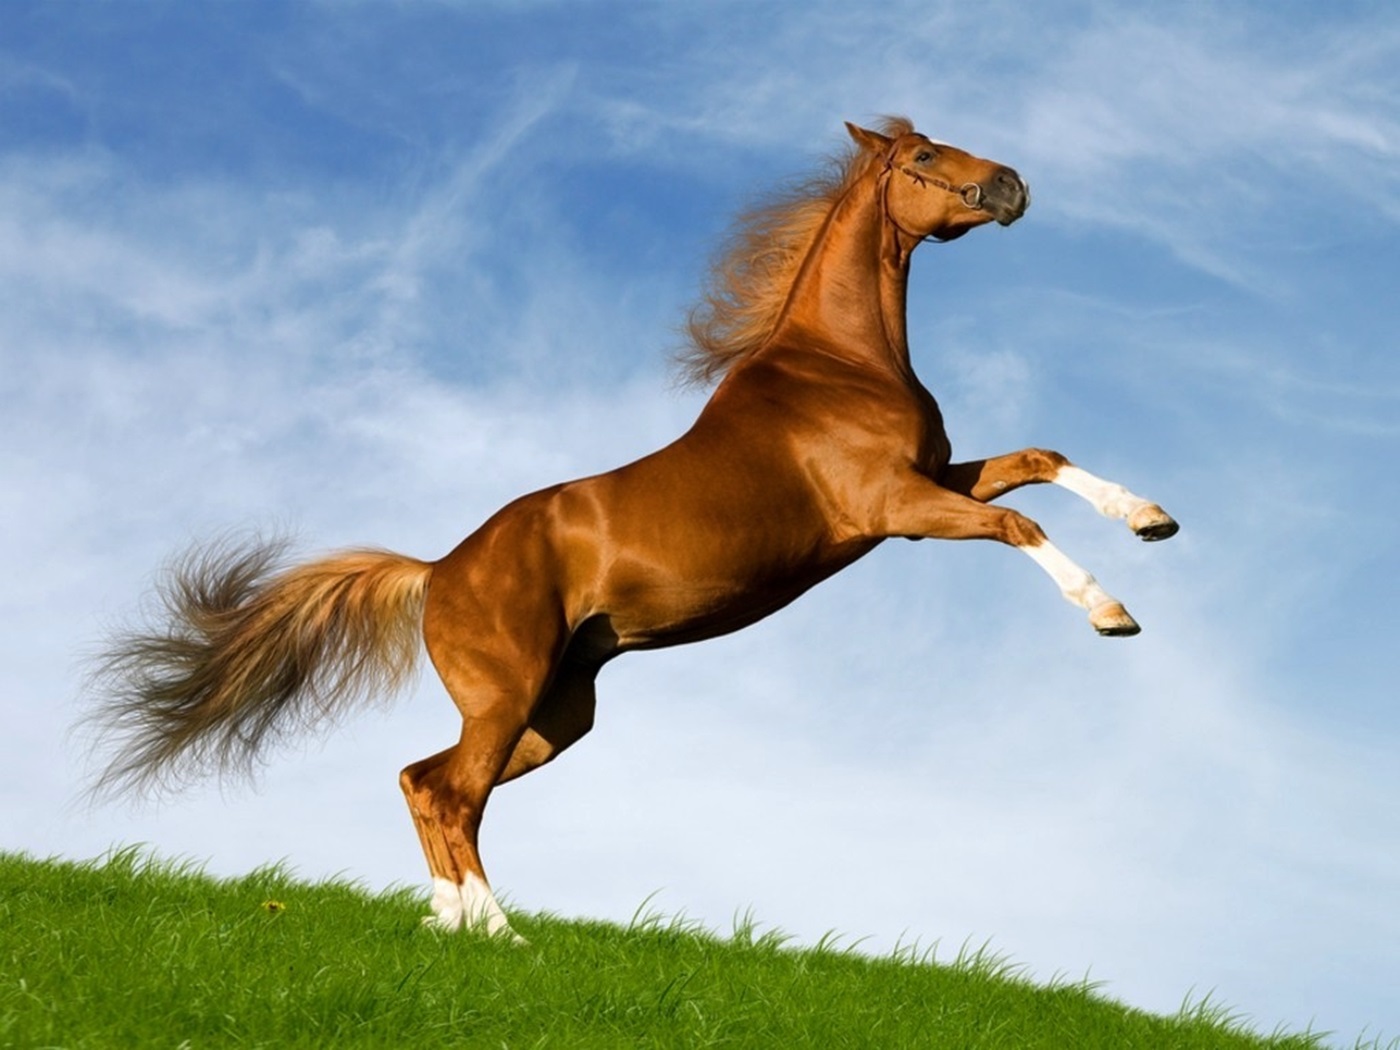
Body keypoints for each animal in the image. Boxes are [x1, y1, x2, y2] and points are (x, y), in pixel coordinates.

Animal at [88, 117, 1177, 939]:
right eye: (920, 158)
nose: (1011, 184)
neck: (838, 364)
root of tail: (437, 569)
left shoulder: (934, 479)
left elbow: (1038, 460)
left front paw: (1151, 519)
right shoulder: (894, 508)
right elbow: (1017, 527)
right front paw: (1111, 613)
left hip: (555, 714)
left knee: (421, 780)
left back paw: (451, 926)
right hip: (508, 696)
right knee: (449, 792)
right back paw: (501, 934)